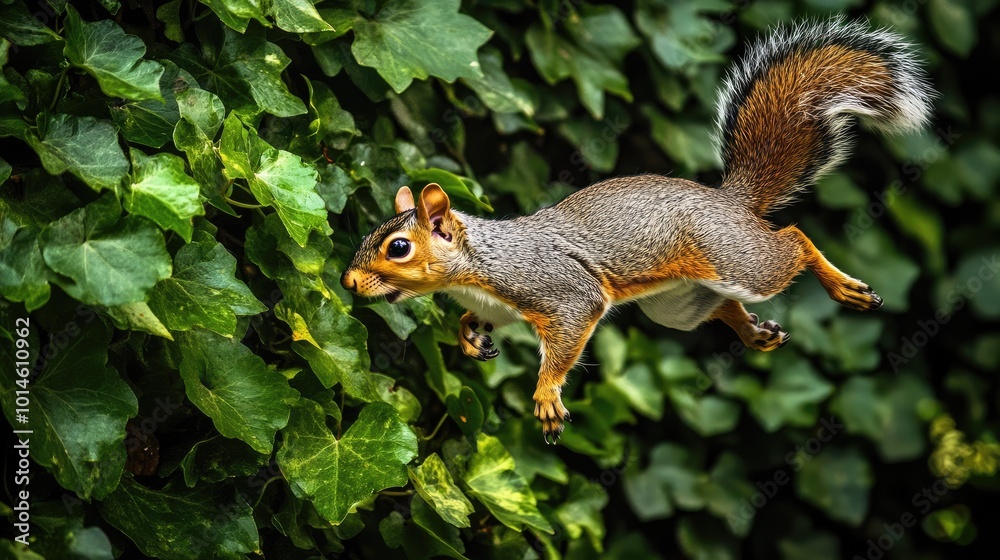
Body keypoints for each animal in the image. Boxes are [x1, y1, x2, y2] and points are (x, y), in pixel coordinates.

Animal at [341, 19, 935, 443]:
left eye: (398, 247)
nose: (347, 282)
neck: (478, 264)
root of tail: (731, 202)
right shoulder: (502, 304)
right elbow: (479, 322)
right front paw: (469, 338)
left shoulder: (557, 289)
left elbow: (568, 333)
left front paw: (547, 394)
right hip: (676, 305)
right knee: (722, 305)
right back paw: (754, 333)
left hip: (736, 258)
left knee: (793, 242)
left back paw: (839, 285)